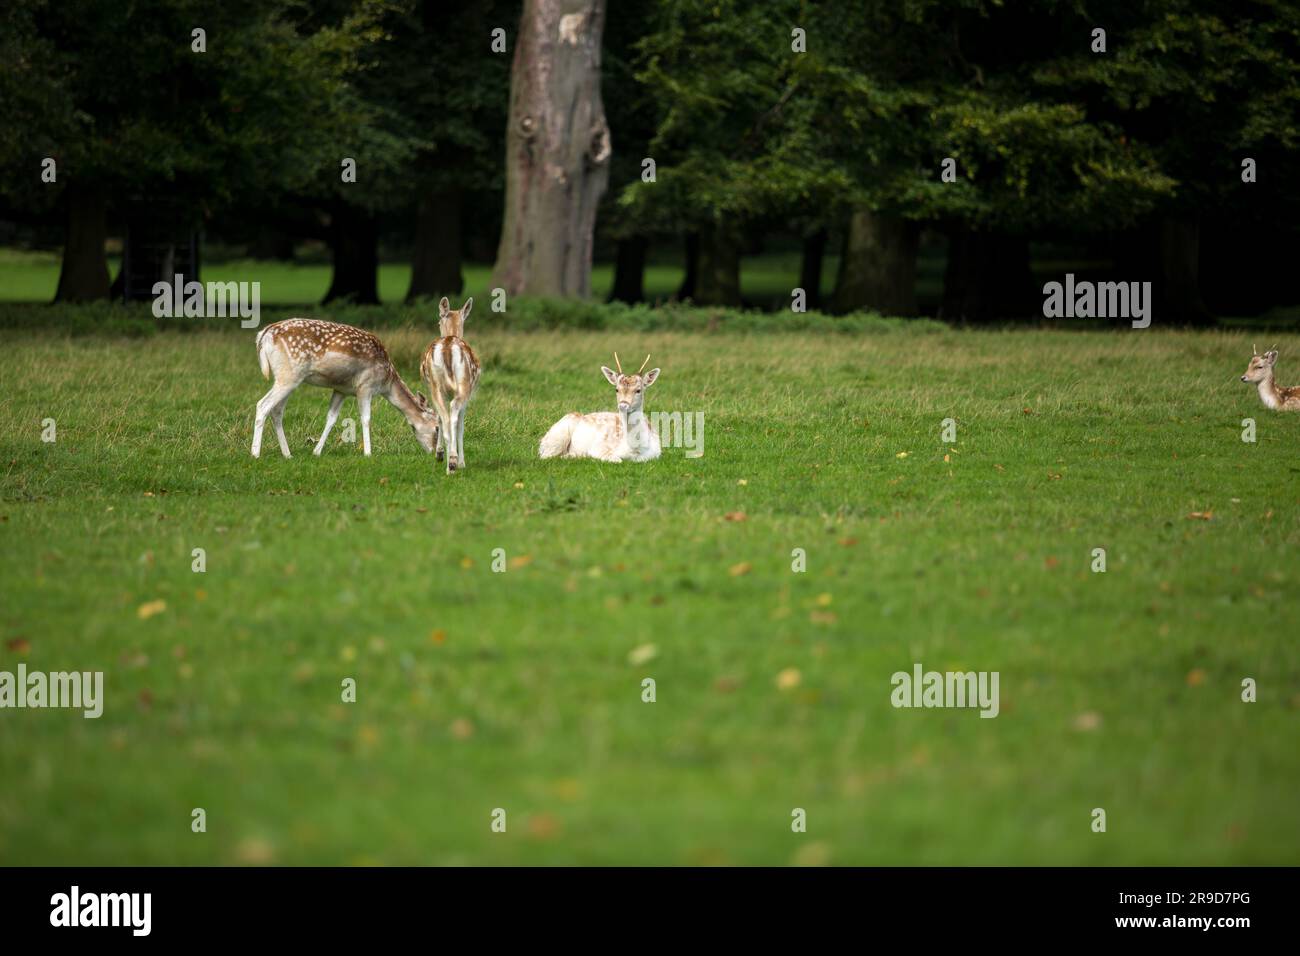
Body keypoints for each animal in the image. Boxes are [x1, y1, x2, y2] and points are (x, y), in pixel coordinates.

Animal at [251, 319, 437, 458]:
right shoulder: (365, 385)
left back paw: (287, 454)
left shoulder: (341, 389)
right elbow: (366, 418)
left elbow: (331, 418)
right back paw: (255, 454)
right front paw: (368, 453)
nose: (436, 452)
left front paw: (316, 452)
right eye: (437, 427)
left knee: (277, 410)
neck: (386, 381)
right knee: (262, 405)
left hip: (286, 377)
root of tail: (263, 335)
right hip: (289, 375)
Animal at [419, 297, 481, 474]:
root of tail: (447, 346)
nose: (437, 325)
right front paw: (462, 462)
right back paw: (452, 461)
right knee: (452, 414)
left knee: (445, 417)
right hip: (462, 385)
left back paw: (449, 462)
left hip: (436, 386)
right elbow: (461, 425)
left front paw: (441, 454)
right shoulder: (468, 394)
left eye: (438, 320)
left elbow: (440, 419)